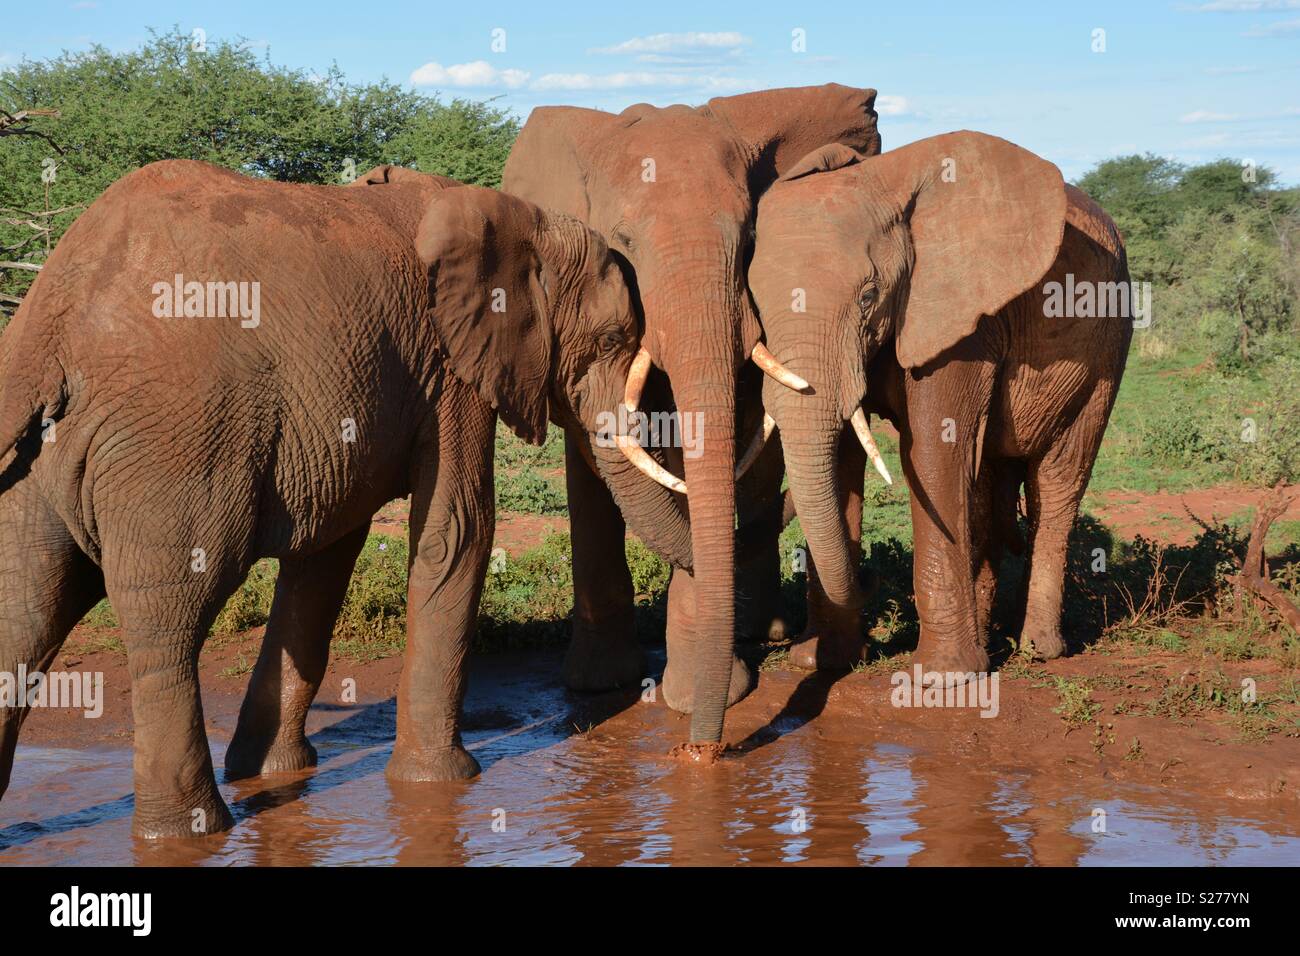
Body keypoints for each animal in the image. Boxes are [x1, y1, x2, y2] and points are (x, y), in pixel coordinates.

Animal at [0, 159, 690, 837]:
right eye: (611, 342)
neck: (522, 217)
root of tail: (51, 324)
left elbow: (325, 555)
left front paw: (274, 772)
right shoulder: (451, 374)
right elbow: (460, 534)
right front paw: (441, 784)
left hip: (45, 463)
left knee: (26, 613)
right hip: (175, 440)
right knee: (170, 618)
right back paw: (192, 829)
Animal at [503, 83, 881, 747]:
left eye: (750, 236)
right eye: (623, 243)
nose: (704, 749)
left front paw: (709, 694)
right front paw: (619, 690)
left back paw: (761, 634)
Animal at [748, 131, 1132, 677]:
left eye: (868, 297)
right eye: (755, 300)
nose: (869, 577)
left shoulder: (960, 319)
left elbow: (932, 450)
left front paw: (943, 678)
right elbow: (844, 455)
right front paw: (818, 662)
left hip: (1108, 347)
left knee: (1058, 478)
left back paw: (1038, 648)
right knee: (987, 481)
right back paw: (991, 638)